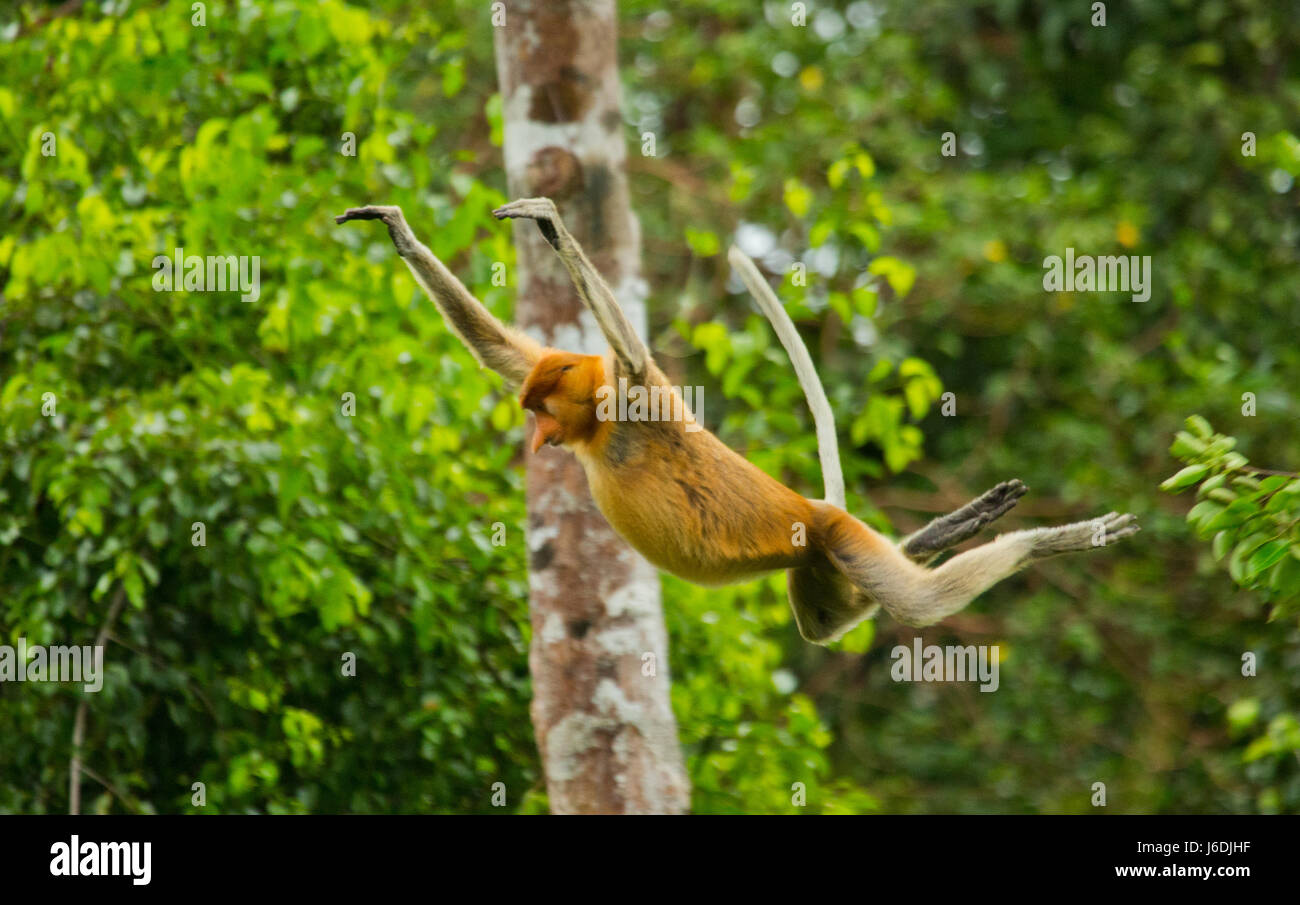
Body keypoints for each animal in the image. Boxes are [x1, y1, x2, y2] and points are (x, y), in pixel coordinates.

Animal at [335, 199, 1138, 643]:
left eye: (541, 411)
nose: (535, 439)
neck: (600, 430)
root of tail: (816, 510)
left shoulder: (640, 395)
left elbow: (631, 353)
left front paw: (551, 222)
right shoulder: (565, 369)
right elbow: (503, 349)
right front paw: (399, 232)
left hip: (831, 538)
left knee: (914, 600)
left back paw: (1053, 539)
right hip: (821, 560)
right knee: (830, 618)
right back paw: (948, 529)